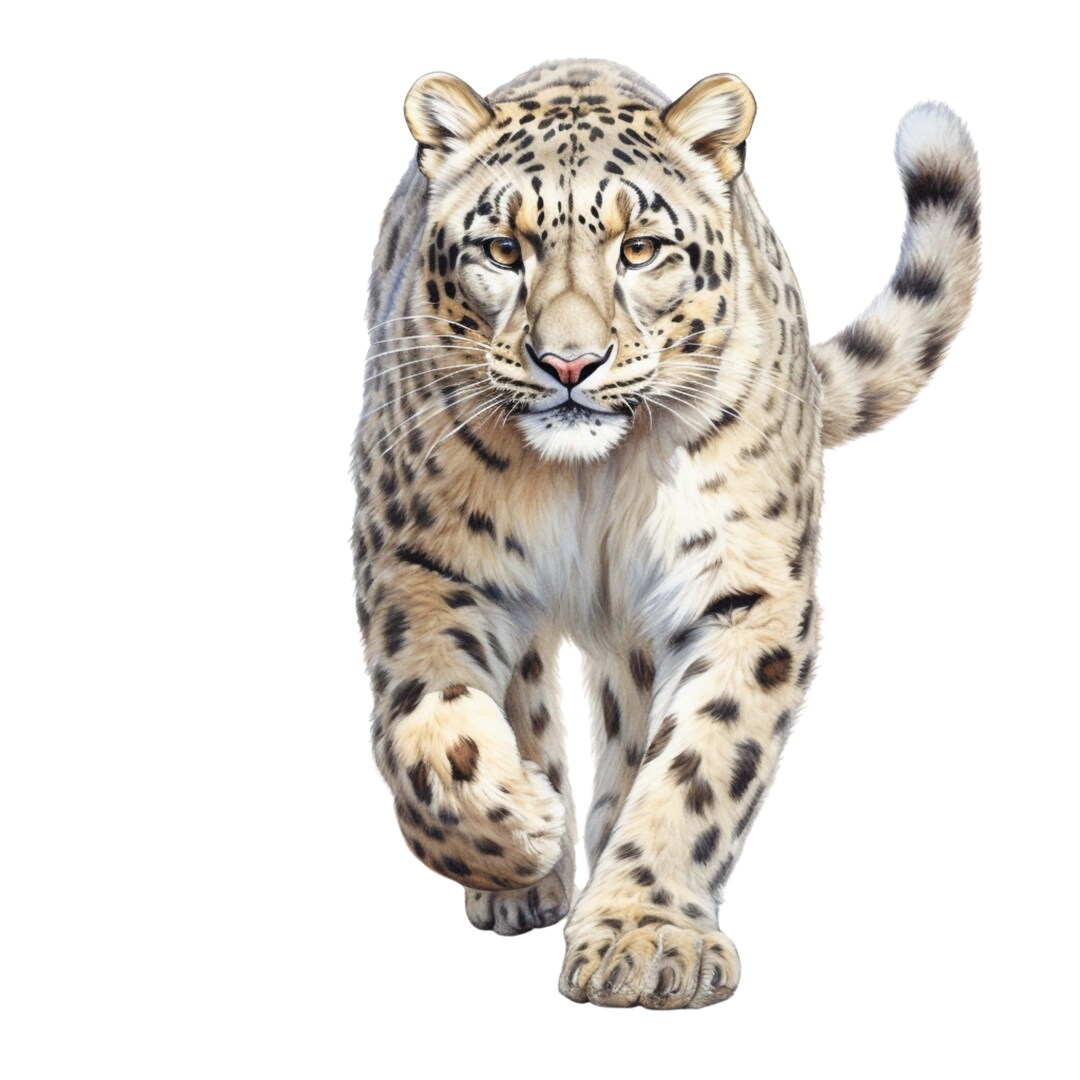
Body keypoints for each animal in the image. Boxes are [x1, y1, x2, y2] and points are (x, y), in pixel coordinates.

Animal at [351, 58, 980, 1009]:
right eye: (503, 249)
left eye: (640, 248)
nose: (569, 363)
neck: (589, 481)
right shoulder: (419, 561)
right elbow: (423, 734)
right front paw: (521, 833)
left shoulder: (745, 588)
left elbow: (702, 761)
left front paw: (643, 938)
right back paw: (529, 871)